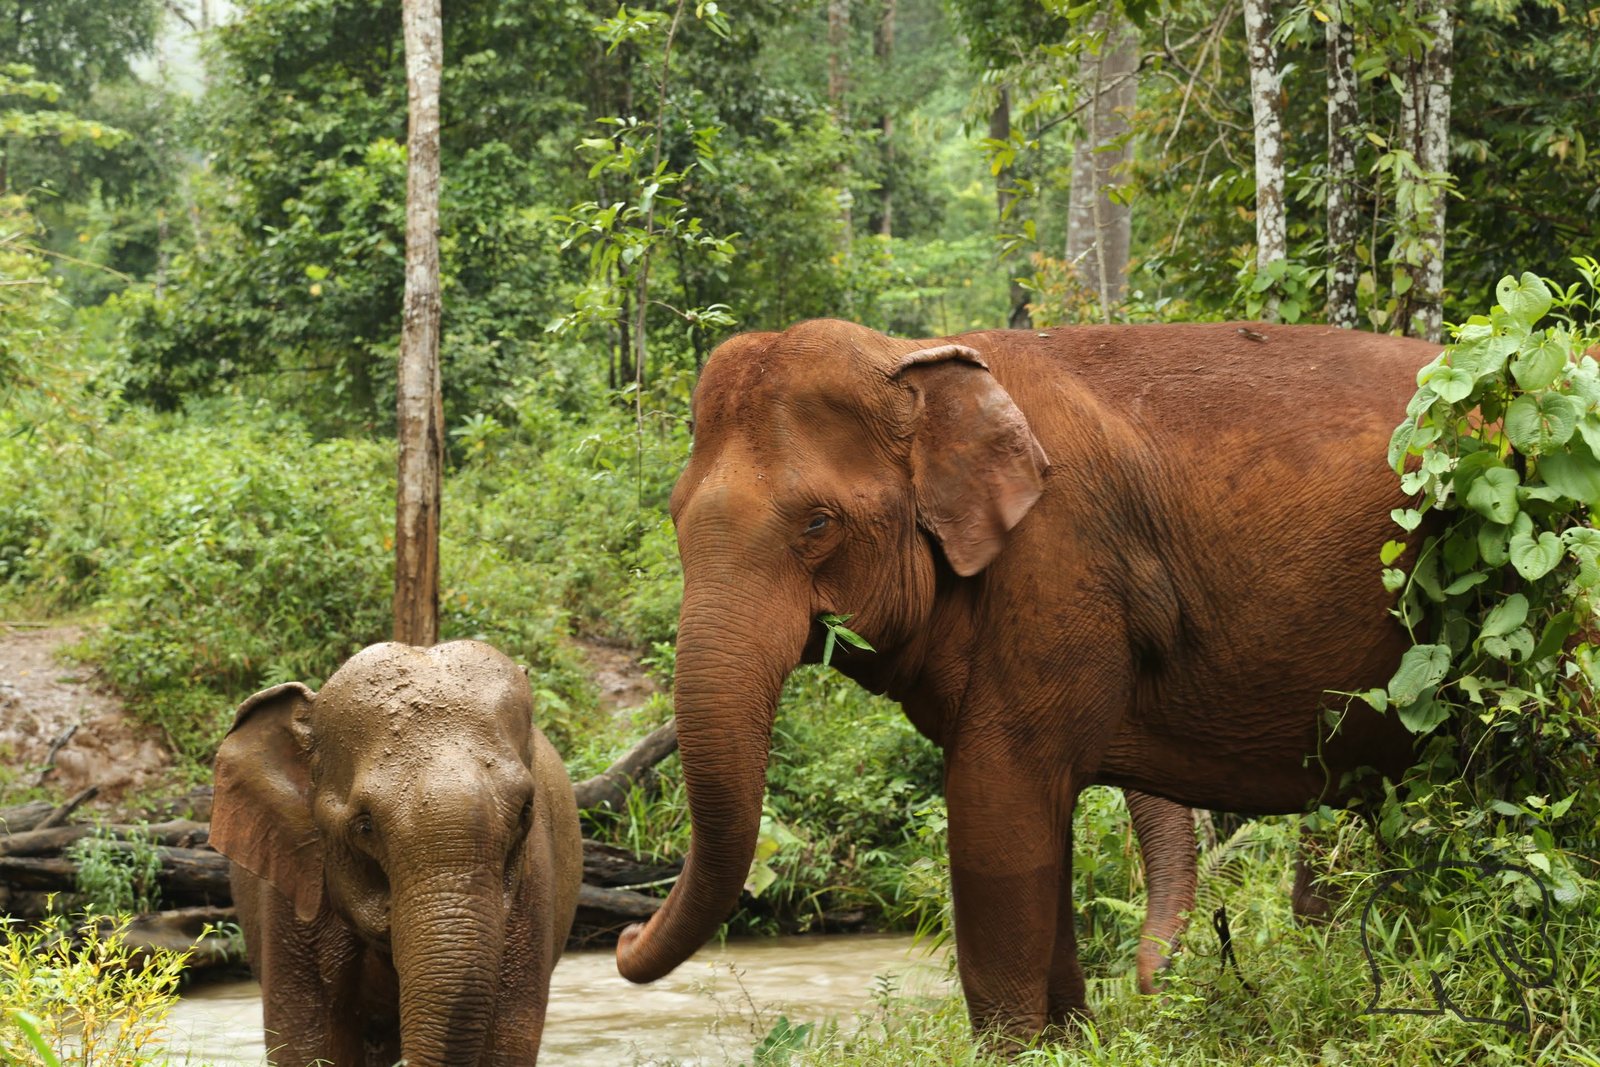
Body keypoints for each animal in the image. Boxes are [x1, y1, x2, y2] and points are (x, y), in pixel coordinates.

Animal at [613, 318, 1439, 1040]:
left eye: (817, 524)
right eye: (674, 517)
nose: (622, 934)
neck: (915, 357)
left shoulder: (1056, 562)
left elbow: (997, 810)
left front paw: (1016, 1048)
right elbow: (1038, 824)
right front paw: (1071, 1040)